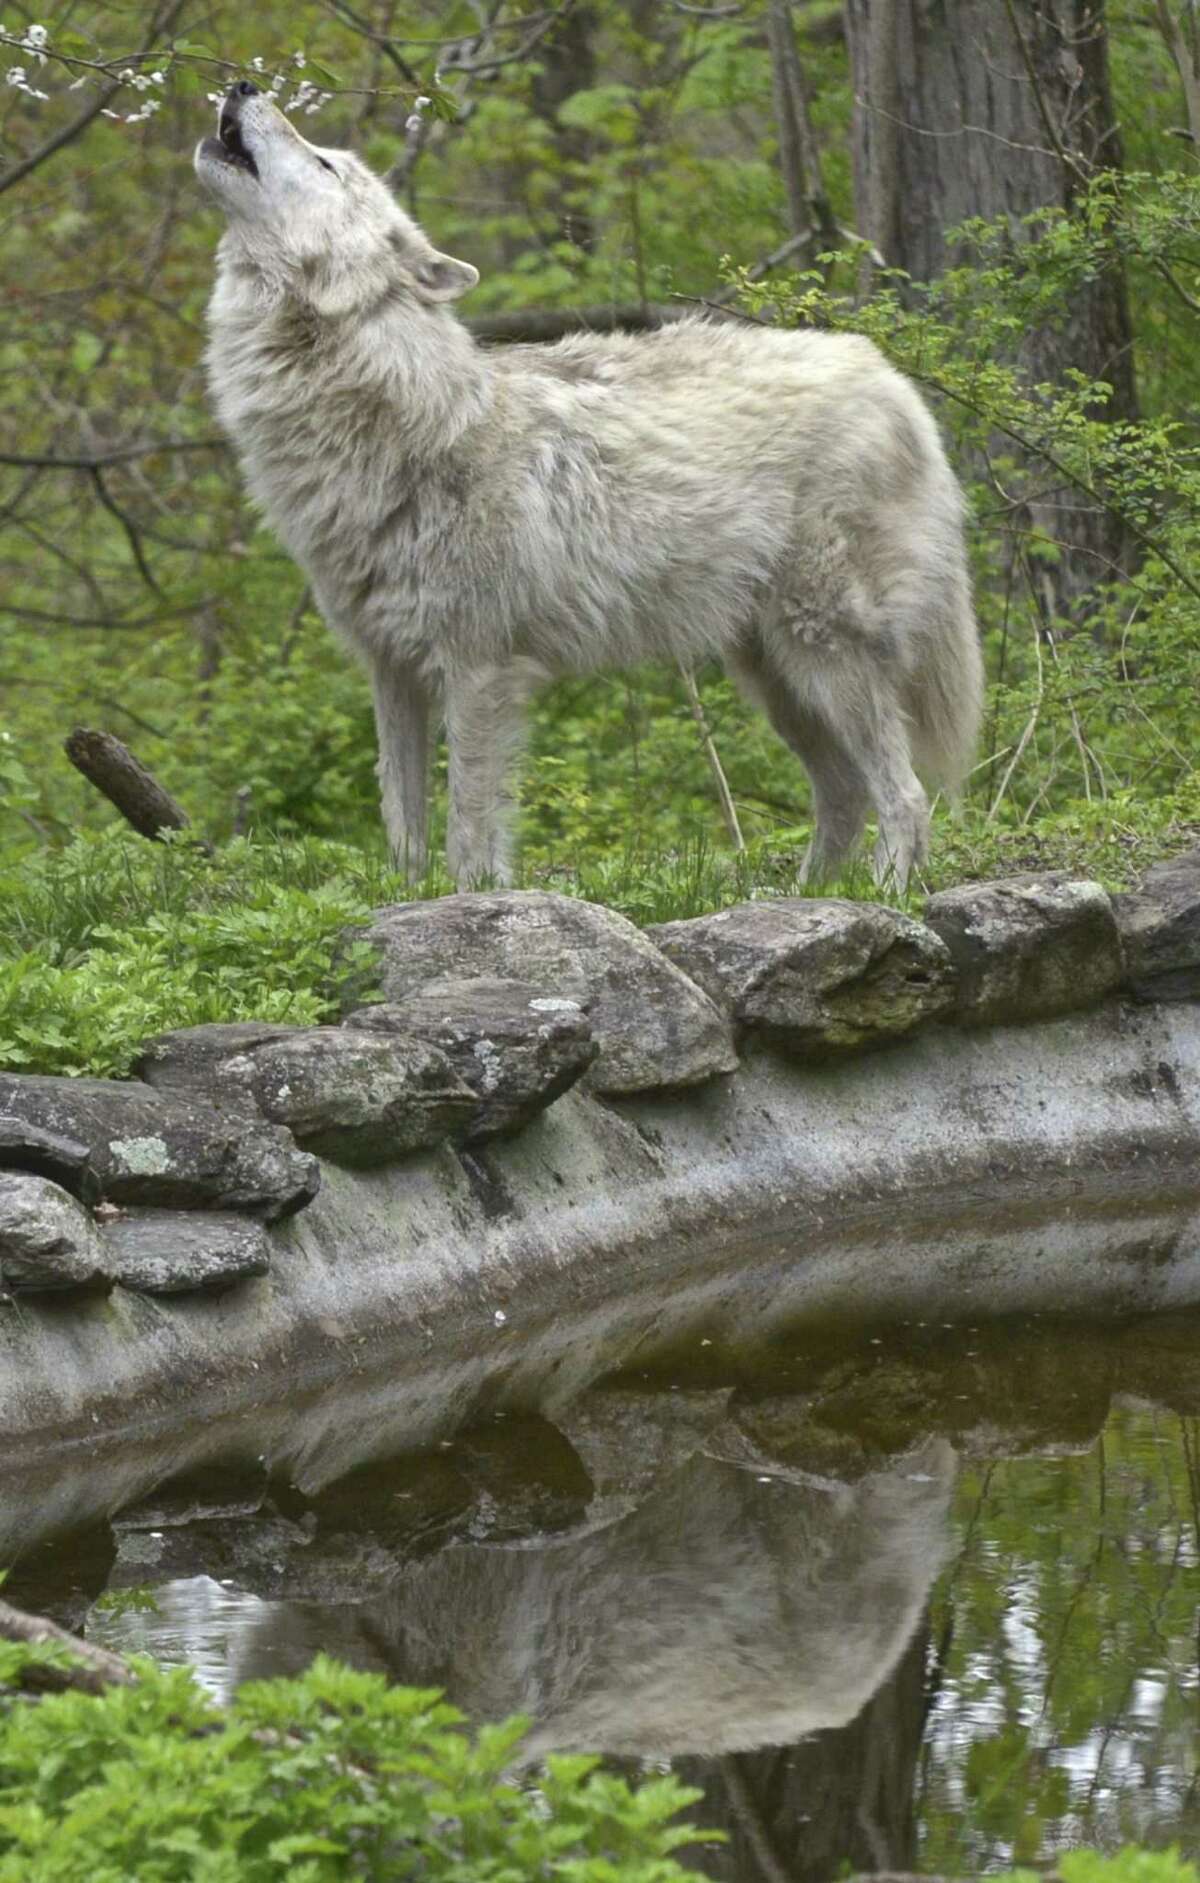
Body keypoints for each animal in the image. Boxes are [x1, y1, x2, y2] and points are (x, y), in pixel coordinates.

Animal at [196, 83, 983, 889]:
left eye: (326, 162)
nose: (245, 87)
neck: (396, 412)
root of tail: (890, 376)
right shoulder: (392, 670)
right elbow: (401, 825)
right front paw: (406, 902)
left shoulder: (479, 669)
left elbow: (468, 825)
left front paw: (472, 901)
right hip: (773, 675)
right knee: (847, 792)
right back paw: (803, 899)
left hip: (824, 652)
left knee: (906, 796)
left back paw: (885, 897)